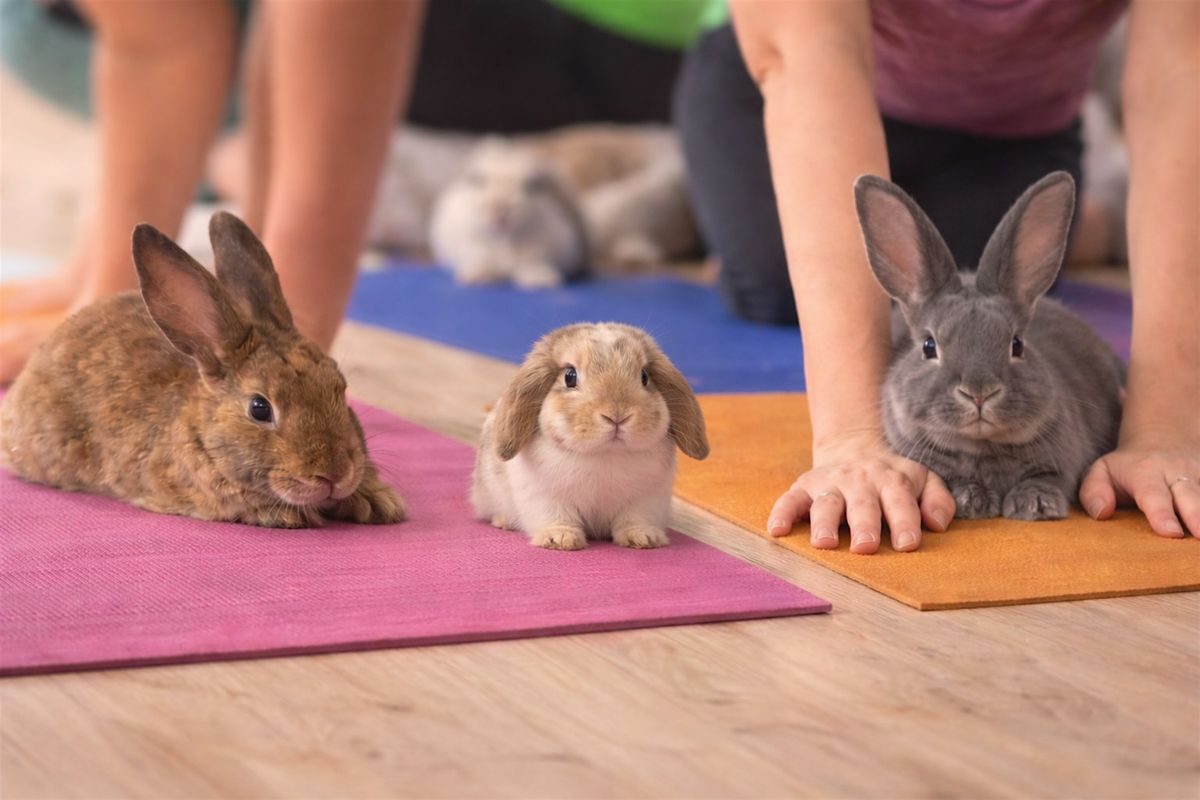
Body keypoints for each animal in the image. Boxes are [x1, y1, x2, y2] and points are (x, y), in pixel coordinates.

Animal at [429, 138, 588, 289]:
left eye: (530, 185)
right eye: (477, 180)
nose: (499, 209)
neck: (505, 240)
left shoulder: (546, 247)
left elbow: (533, 262)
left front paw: (541, 282)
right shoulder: (471, 243)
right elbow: (482, 259)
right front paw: (475, 278)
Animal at [470, 323, 709, 550]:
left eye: (644, 376)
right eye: (570, 376)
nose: (617, 414)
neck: (605, 454)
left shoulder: (646, 499)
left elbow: (634, 519)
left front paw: (643, 538)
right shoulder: (546, 496)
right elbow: (556, 516)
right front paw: (560, 539)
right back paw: (504, 521)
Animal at [854, 171, 1124, 521]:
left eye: (1016, 344)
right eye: (929, 346)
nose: (979, 392)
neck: (982, 446)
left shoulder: (1062, 461)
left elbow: (1048, 479)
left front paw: (1035, 505)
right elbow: (954, 481)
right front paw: (972, 501)